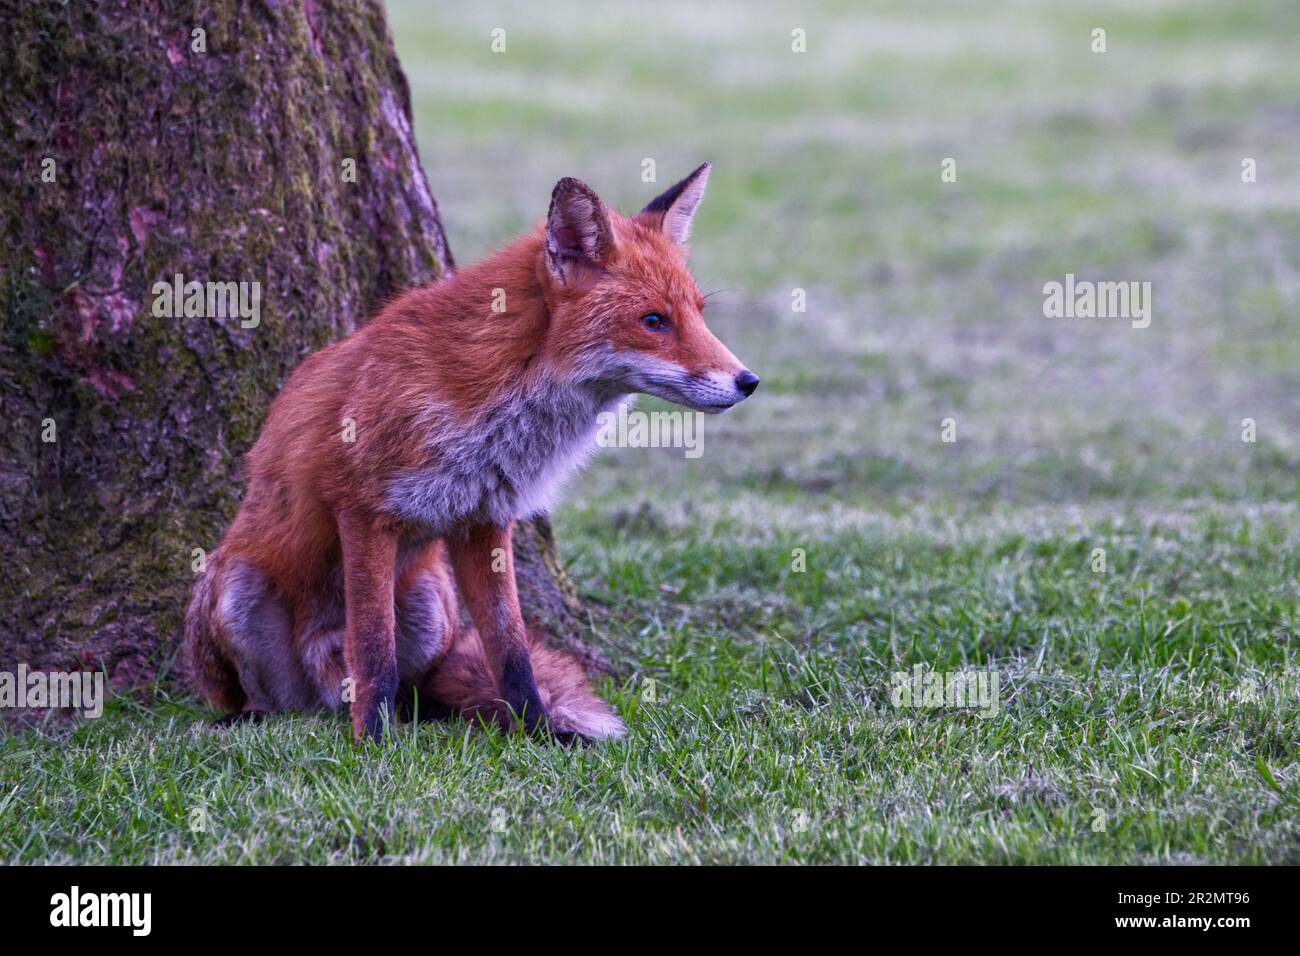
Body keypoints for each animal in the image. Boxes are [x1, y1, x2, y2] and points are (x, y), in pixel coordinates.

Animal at [183, 162, 758, 745]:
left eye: (699, 314)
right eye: (654, 321)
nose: (748, 381)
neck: (499, 405)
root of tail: (319, 679)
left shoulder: (484, 519)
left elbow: (512, 652)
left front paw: (539, 733)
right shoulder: (363, 509)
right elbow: (373, 650)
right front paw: (373, 744)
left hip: (429, 604)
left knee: (425, 681)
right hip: (238, 591)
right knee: (271, 696)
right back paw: (251, 715)